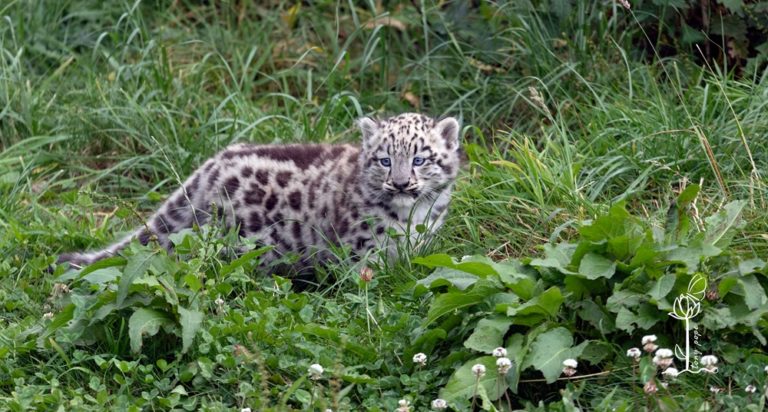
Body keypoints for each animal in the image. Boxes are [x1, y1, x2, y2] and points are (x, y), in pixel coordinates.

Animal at [57, 113, 462, 274]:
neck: (413, 217)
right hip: (243, 240)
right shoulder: (361, 248)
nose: (400, 183)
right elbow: (367, 278)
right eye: (383, 160)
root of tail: (214, 162)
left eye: (420, 159)